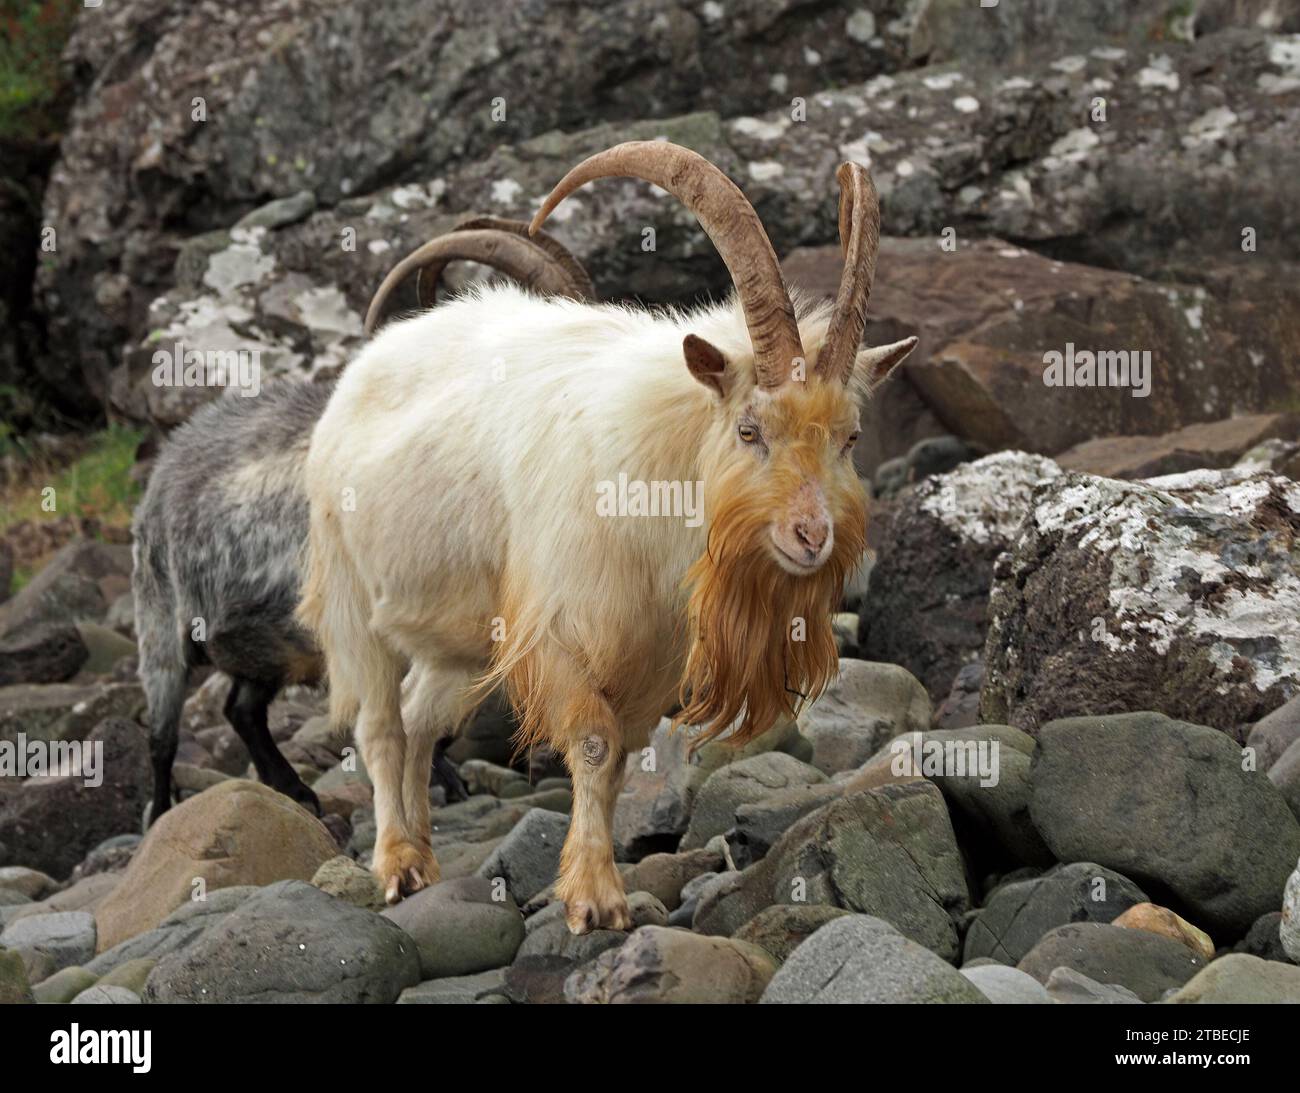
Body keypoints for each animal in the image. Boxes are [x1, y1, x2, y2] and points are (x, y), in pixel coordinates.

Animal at [132, 220, 592, 824]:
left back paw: (298, 793)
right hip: (161, 622)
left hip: (269, 646)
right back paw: (162, 813)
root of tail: (164, 471)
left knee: (241, 709)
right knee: (163, 736)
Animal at [298, 141, 917, 930]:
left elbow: (620, 760)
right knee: (379, 726)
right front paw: (593, 898)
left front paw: (606, 886)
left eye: (850, 437)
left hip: (460, 638)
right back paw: (397, 865)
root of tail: (367, 364)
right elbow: (592, 747)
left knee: (417, 719)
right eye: (750, 430)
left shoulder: (651, 655)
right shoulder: (560, 628)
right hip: (352, 597)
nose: (812, 536)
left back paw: (426, 855)